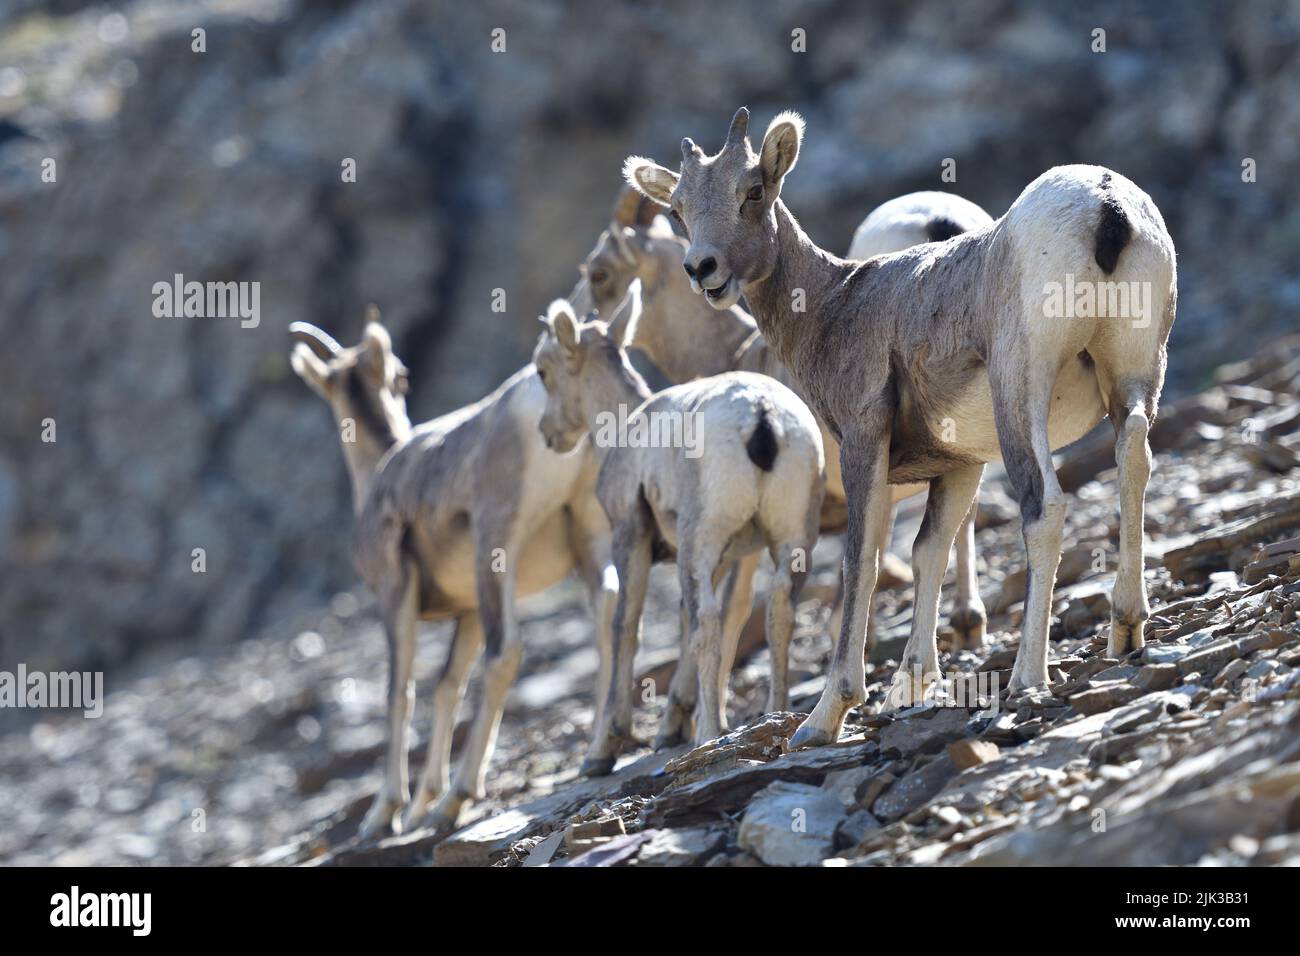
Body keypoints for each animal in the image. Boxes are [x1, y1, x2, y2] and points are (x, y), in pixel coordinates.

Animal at [290, 308, 615, 836]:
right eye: (402, 376)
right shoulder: (468, 614)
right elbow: (447, 687)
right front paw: (421, 802)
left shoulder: (396, 593)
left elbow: (400, 692)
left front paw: (387, 813)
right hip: (590, 535)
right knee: (611, 609)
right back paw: (601, 749)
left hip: (495, 548)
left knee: (506, 654)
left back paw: (455, 801)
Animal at [533, 301, 824, 773]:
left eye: (543, 370)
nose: (548, 434)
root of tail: (763, 417)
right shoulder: (725, 556)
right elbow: (687, 626)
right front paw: (672, 728)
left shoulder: (630, 535)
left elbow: (628, 627)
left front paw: (602, 751)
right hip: (791, 539)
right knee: (778, 610)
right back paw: (774, 711)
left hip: (699, 542)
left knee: (708, 621)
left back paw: (709, 735)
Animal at [626, 108, 1176, 747]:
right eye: (680, 208)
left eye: (754, 190)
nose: (703, 270)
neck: (831, 304)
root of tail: (1105, 207)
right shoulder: (960, 465)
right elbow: (927, 552)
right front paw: (911, 687)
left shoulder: (865, 446)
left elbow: (860, 564)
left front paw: (825, 717)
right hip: (1134, 376)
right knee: (1134, 457)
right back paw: (1127, 628)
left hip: (1022, 388)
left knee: (1046, 507)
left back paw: (1027, 678)